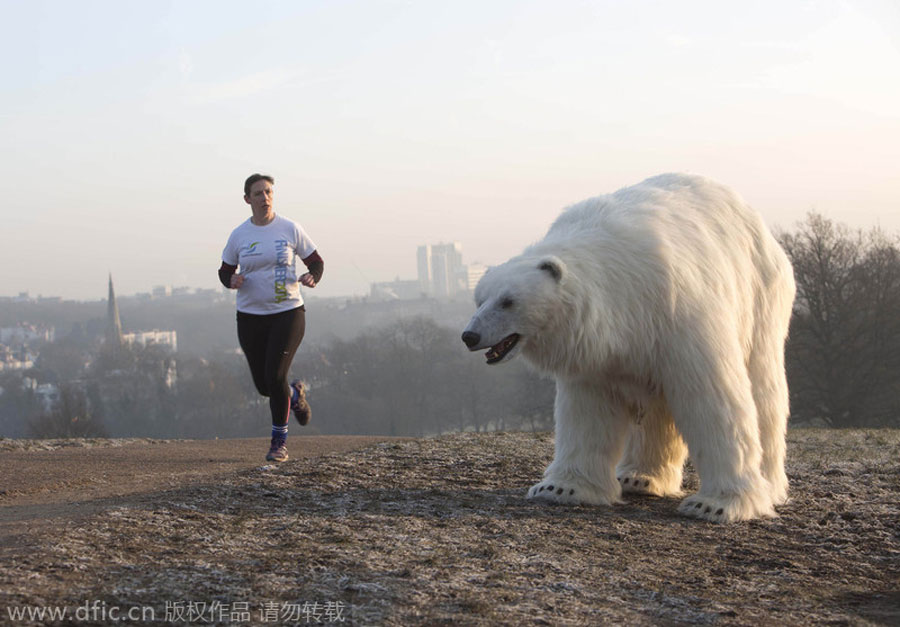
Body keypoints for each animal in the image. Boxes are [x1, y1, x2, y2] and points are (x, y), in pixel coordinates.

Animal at [462, 173, 796, 522]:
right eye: (480, 299)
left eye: (508, 301)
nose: (469, 336)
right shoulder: (597, 352)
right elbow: (588, 411)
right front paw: (559, 488)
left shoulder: (677, 314)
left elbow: (711, 396)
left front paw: (716, 504)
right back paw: (638, 477)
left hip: (761, 295)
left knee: (764, 389)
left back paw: (770, 485)